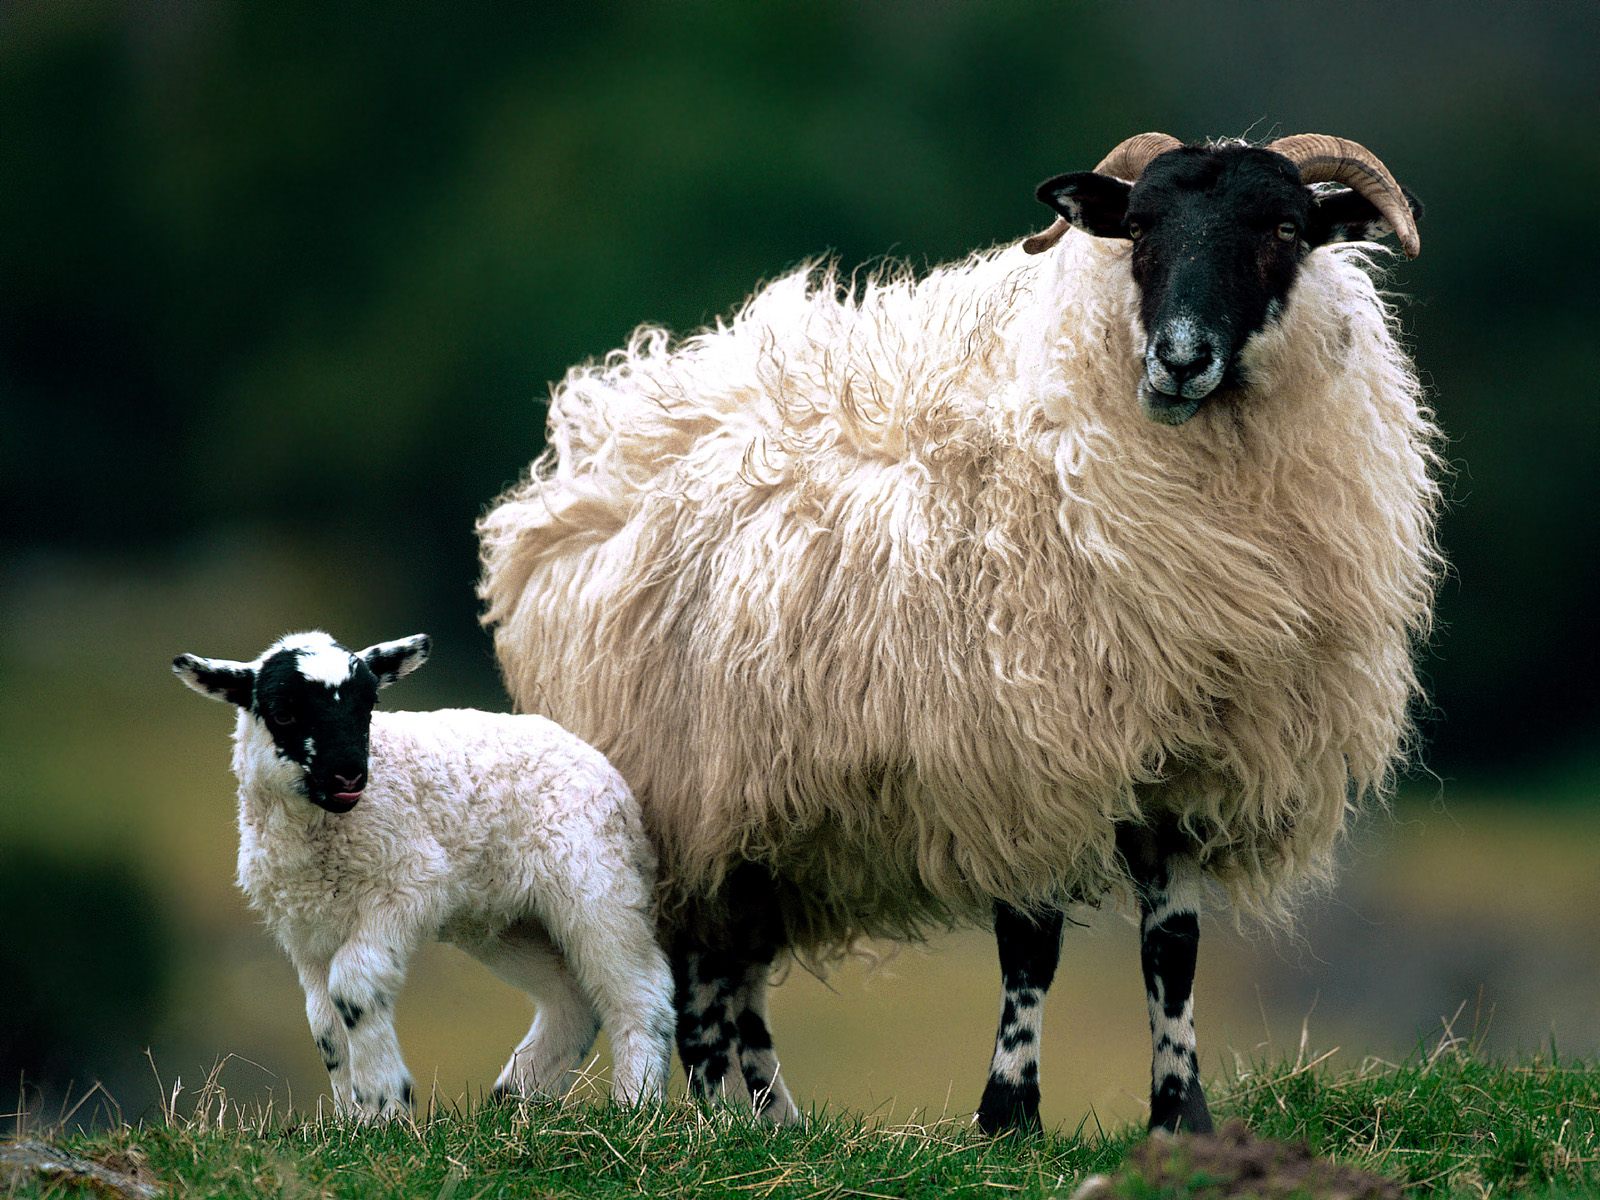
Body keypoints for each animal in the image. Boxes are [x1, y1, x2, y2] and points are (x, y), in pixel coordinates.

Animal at [172, 630, 675, 1118]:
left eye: (368, 704)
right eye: (282, 711)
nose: (348, 775)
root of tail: (606, 769)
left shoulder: (406, 884)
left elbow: (353, 987)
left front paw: (385, 1103)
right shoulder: (305, 931)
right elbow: (325, 1025)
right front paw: (350, 1119)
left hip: (596, 881)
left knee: (642, 991)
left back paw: (634, 1105)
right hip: (509, 921)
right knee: (570, 998)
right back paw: (513, 1101)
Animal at [477, 132, 1442, 1134]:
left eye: (1286, 228)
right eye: (1138, 228)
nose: (1178, 358)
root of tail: (599, 427)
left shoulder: (1180, 769)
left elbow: (1172, 951)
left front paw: (1181, 1116)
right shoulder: (1015, 752)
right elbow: (1032, 945)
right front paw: (1009, 1114)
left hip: (761, 814)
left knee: (737, 975)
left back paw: (780, 1122)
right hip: (688, 794)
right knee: (703, 977)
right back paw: (721, 1123)